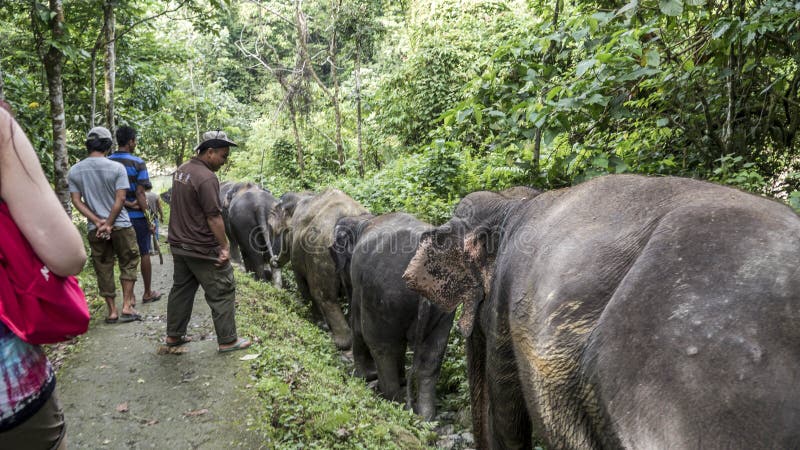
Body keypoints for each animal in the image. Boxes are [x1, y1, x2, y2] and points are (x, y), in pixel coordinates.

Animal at [269, 189, 368, 349]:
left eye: (285, 233)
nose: (272, 260)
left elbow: (302, 283)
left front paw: (320, 324)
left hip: (320, 254)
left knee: (323, 296)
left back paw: (340, 342)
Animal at [329, 212, 455, 420]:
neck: (364, 220)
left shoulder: (360, 285)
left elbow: (358, 324)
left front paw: (364, 376)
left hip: (383, 295)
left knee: (381, 345)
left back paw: (390, 397)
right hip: (443, 305)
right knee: (431, 358)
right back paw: (426, 416)